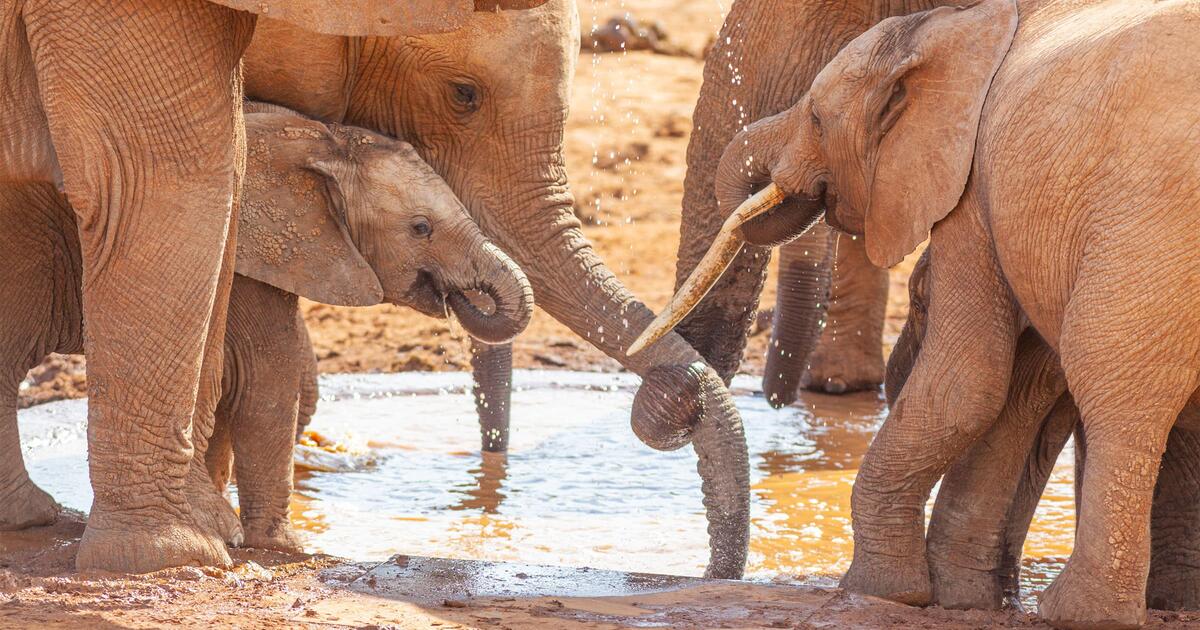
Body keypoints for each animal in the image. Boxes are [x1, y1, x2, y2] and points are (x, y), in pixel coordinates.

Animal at [0, 0, 547, 573]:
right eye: (421, 228)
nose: (463, 296)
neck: (321, 142)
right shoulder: (257, 263)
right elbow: (271, 374)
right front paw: (278, 546)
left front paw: (230, 525)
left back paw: (29, 514)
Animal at [636, 0, 1200, 625]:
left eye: (815, 118)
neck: (956, 30)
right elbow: (1023, 381)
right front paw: (962, 598)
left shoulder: (969, 184)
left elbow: (969, 385)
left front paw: (880, 591)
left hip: (1152, 228)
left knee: (1113, 385)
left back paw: (1076, 612)